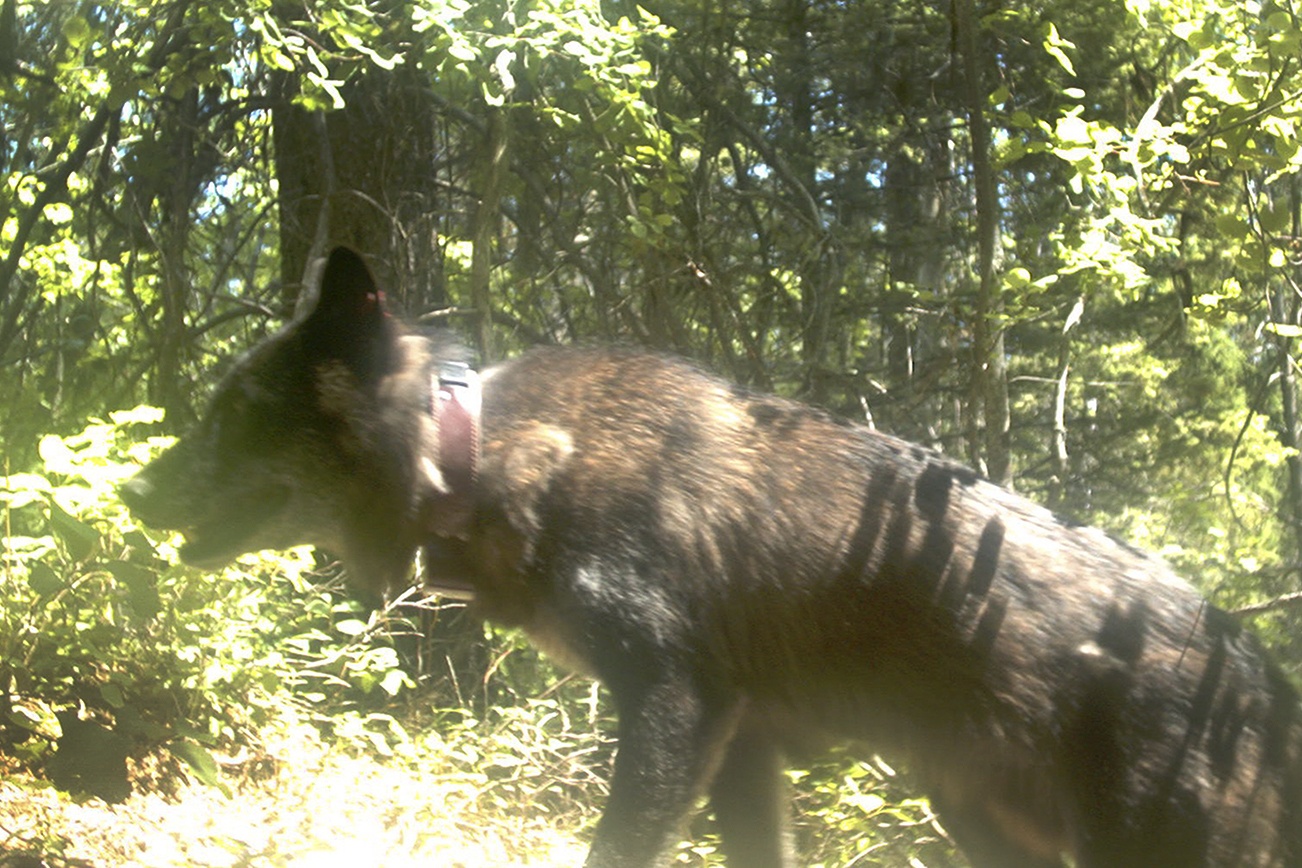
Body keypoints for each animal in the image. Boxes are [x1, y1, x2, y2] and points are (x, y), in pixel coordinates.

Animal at [121, 246, 1302, 868]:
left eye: (234, 409)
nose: (130, 491)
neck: (486, 459)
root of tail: (1258, 670)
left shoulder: (673, 704)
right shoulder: (743, 741)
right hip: (985, 822)